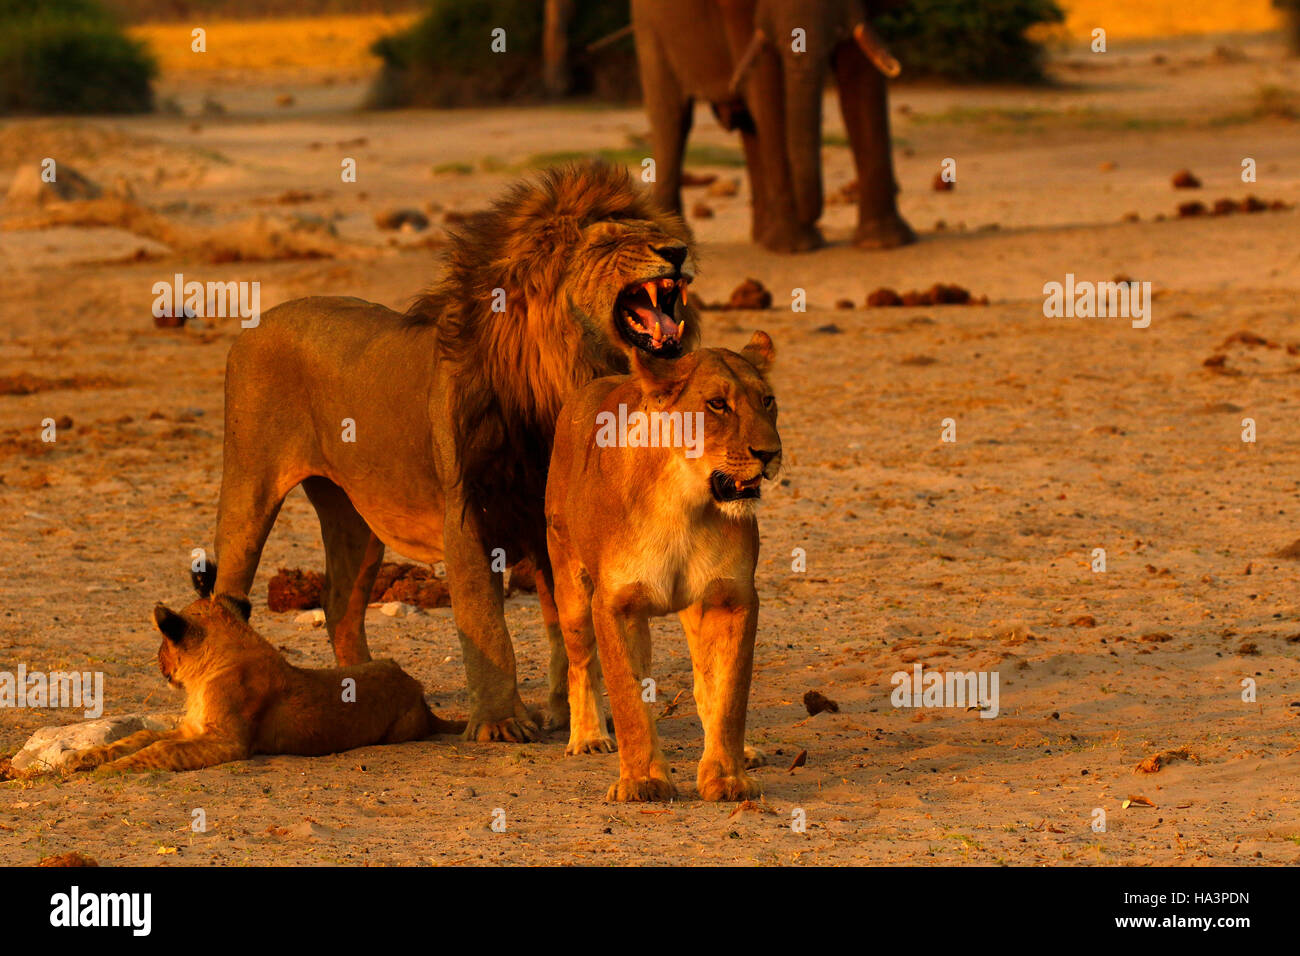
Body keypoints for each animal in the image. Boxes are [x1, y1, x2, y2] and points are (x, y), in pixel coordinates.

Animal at [65, 570, 462, 773]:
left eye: (163, 642)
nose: (158, 661)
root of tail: (419, 692)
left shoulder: (229, 743)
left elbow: (161, 749)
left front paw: (107, 770)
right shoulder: (192, 728)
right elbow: (140, 737)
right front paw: (83, 758)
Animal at [209, 162, 700, 743]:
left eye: (656, 233)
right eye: (612, 240)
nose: (678, 252)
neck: (563, 373)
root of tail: (258, 322)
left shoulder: (546, 518)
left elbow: (566, 624)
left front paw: (569, 715)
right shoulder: (467, 513)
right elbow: (487, 625)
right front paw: (501, 722)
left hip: (355, 515)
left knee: (339, 603)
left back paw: (360, 694)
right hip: (250, 486)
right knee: (227, 587)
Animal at [544, 332, 781, 801]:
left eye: (767, 400)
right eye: (717, 405)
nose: (770, 453)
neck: (683, 504)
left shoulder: (733, 597)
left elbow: (729, 693)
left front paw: (726, 777)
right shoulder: (615, 604)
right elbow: (628, 697)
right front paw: (642, 780)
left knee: (705, 682)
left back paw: (743, 751)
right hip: (570, 581)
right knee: (582, 662)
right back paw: (588, 736)